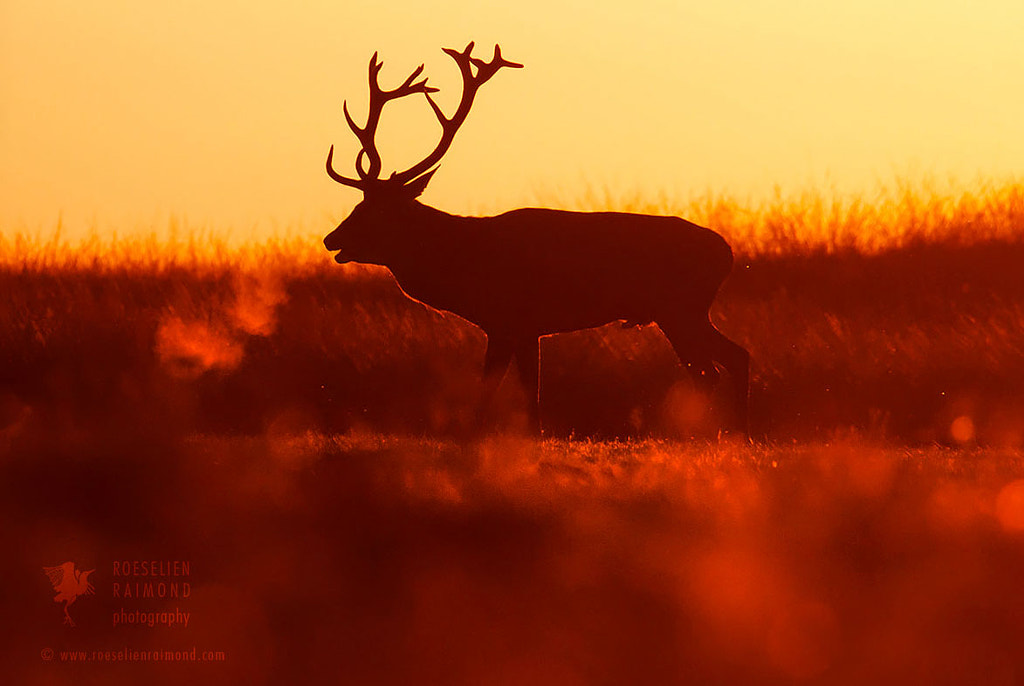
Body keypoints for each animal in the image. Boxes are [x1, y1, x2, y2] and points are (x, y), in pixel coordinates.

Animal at [324, 43, 749, 436]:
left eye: (378, 212)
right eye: (358, 204)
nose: (331, 239)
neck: (464, 262)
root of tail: (727, 253)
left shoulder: (509, 319)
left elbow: (498, 387)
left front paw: (484, 438)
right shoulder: (523, 328)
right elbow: (529, 388)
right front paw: (532, 435)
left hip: (681, 309)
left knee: (716, 367)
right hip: (681, 312)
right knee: (728, 360)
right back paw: (731, 433)